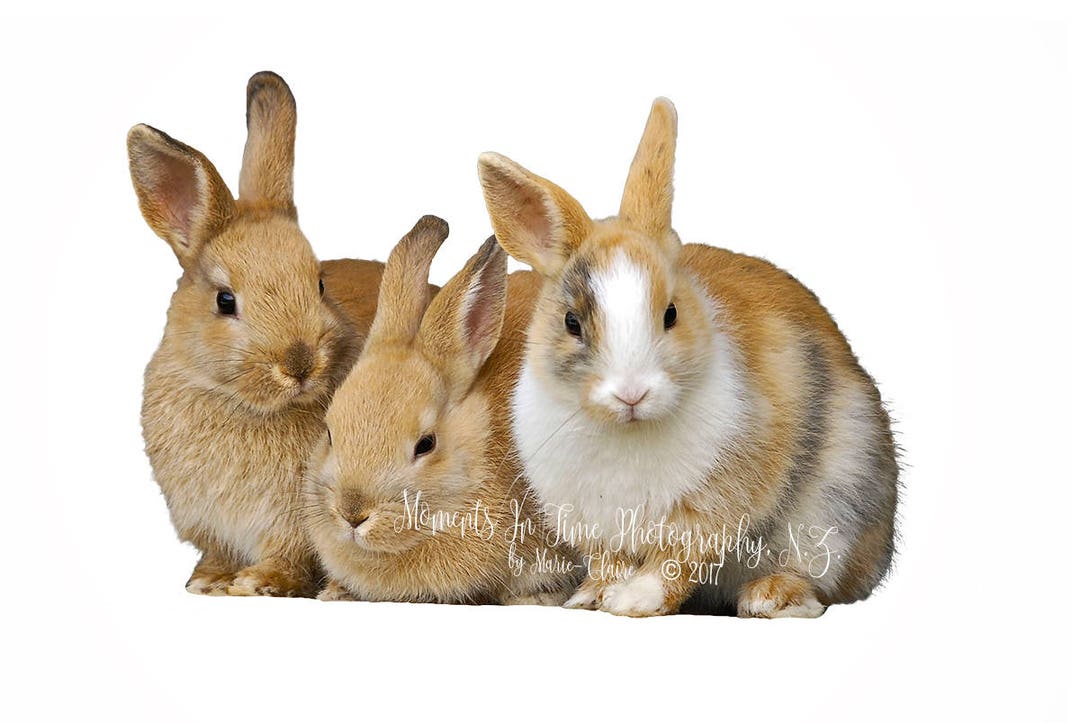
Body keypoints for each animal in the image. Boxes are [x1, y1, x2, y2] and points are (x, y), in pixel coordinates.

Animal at [129, 71, 390, 597]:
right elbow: (219, 552)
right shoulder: (211, 523)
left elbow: (289, 555)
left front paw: (259, 583)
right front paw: (208, 581)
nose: (300, 364)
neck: (243, 404)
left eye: (319, 283)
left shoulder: (293, 523)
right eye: (225, 301)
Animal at [476, 98, 899, 618]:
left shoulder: (710, 506)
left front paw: (634, 601)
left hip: (835, 511)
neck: (627, 432)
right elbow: (608, 562)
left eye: (671, 313)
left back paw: (770, 597)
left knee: (820, 581)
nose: (632, 393)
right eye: (572, 322)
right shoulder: (593, 523)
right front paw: (591, 598)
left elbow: (676, 557)